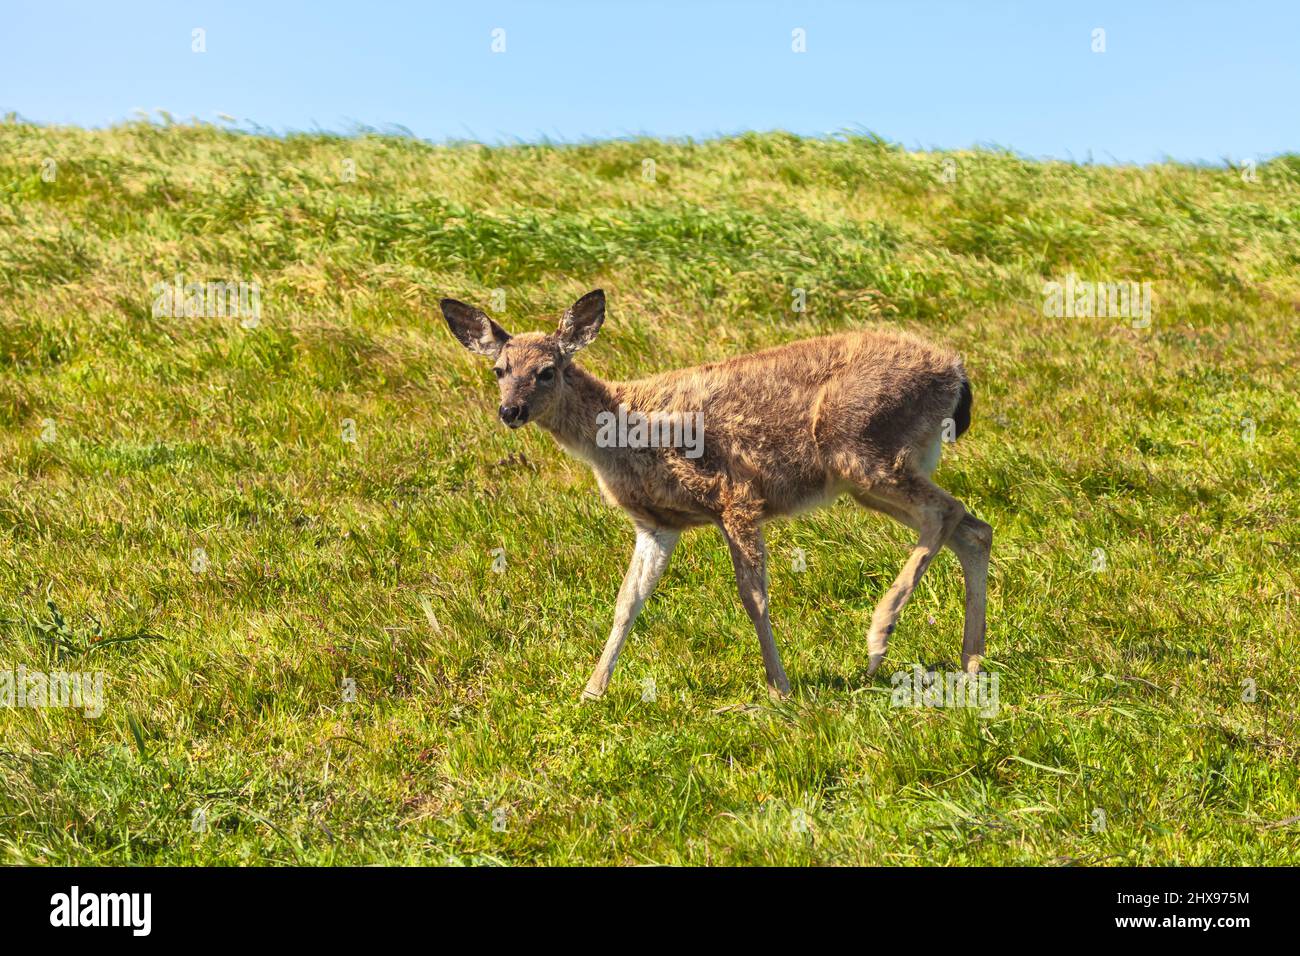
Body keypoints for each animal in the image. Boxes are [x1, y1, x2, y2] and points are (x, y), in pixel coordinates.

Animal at [441, 289, 992, 701]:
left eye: (547, 371)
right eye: (499, 370)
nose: (509, 411)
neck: (623, 428)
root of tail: (957, 372)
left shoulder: (736, 494)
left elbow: (754, 597)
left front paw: (779, 687)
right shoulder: (657, 522)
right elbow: (627, 601)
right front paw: (592, 690)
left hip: (863, 448)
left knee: (946, 511)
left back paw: (878, 640)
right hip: (875, 475)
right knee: (973, 528)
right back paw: (970, 663)